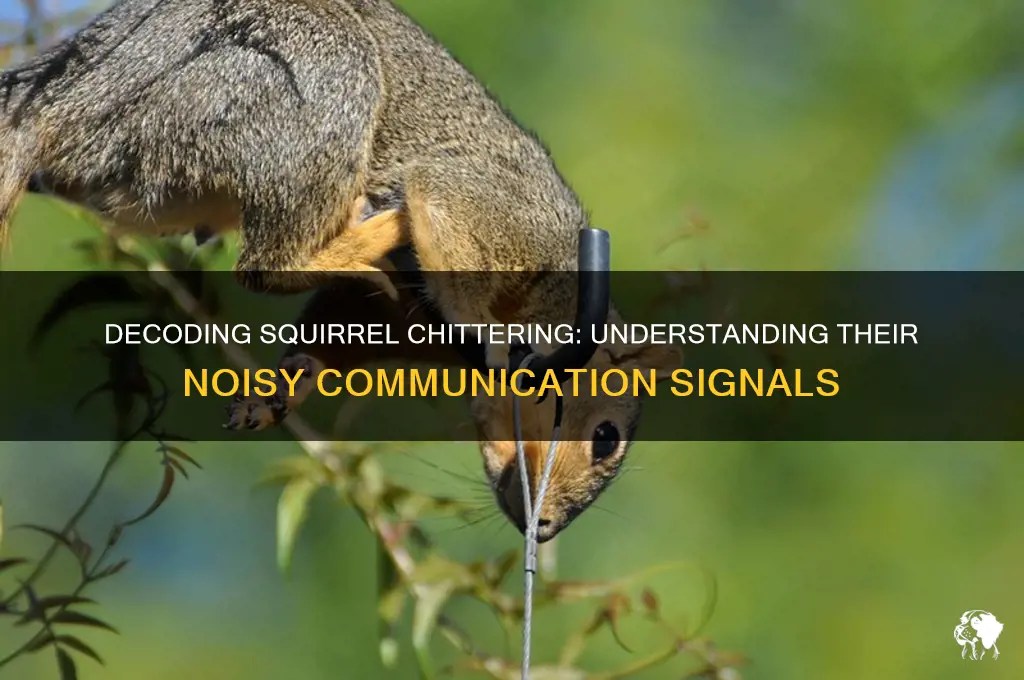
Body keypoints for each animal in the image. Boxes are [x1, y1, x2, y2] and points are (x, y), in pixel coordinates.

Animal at [0, 0, 680, 539]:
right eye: (605, 437)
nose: (544, 529)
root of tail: (52, 99)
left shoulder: (383, 315)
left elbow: (331, 330)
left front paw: (287, 382)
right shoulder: (488, 206)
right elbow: (449, 231)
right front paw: (487, 337)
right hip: (310, 72)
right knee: (268, 263)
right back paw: (373, 229)